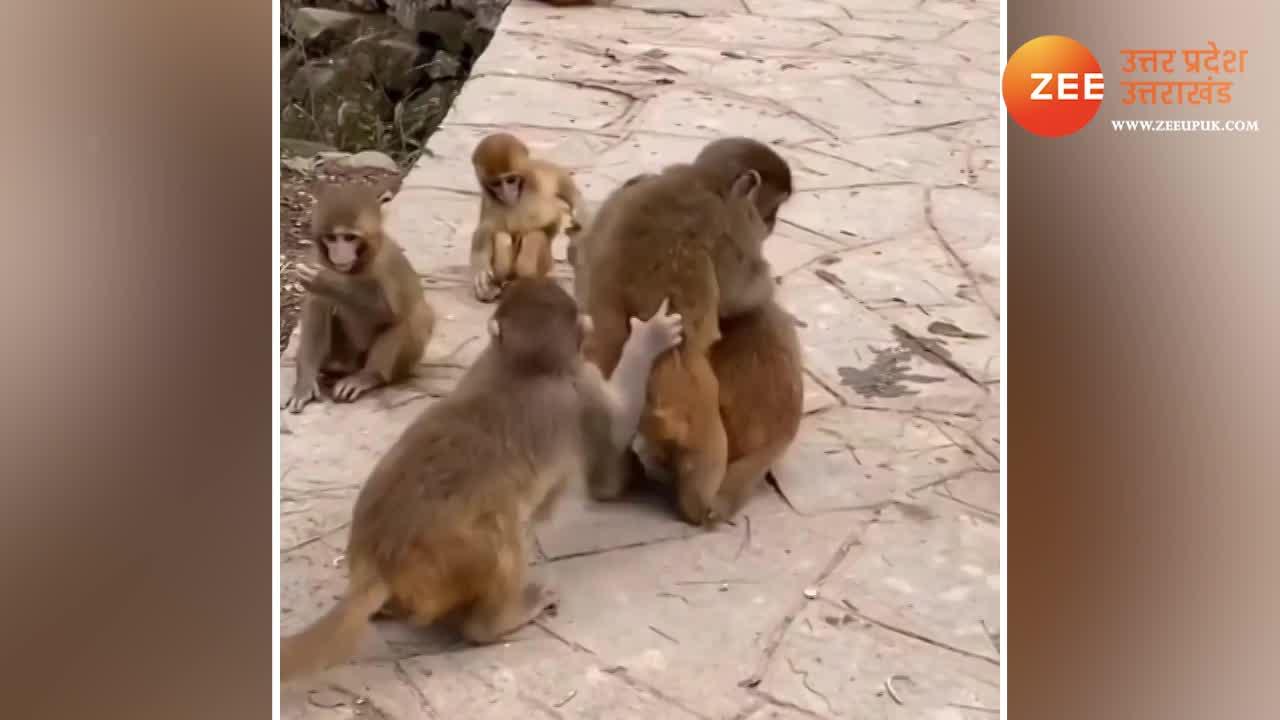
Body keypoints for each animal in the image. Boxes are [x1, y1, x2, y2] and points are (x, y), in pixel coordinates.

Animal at [280, 278, 683, 681]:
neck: (522, 364)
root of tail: (379, 564)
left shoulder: (486, 361)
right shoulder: (581, 387)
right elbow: (614, 442)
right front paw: (651, 337)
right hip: (453, 558)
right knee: (505, 536)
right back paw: (497, 621)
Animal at [283, 184, 435, 413]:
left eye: (350, 238)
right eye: (331, 238)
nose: (339, 254)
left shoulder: (387, 263)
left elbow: (391, 311)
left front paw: (326, 281)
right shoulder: (315, 258)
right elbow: (316, 309)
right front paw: (305, 383)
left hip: (405, 362)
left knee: (408, 317)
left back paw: (368, 377)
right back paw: (333, 369)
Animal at [470, 133, 588, 302]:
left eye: (511, 180)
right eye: (496, 184)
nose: (508, 193)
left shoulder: (535, 178)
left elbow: (557, 186)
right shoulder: (489, 200)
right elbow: (485, 229)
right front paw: (480, 271)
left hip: (546, 264)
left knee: (534, 236)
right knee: (501, 235)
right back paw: (499, 285)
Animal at [579, 137, 792, 525]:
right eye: (771, 206)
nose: (770, 222)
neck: (703, 179)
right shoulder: (733, 224)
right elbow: (739, 294)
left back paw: (609, 481)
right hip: (688, 401)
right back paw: (706, 506)